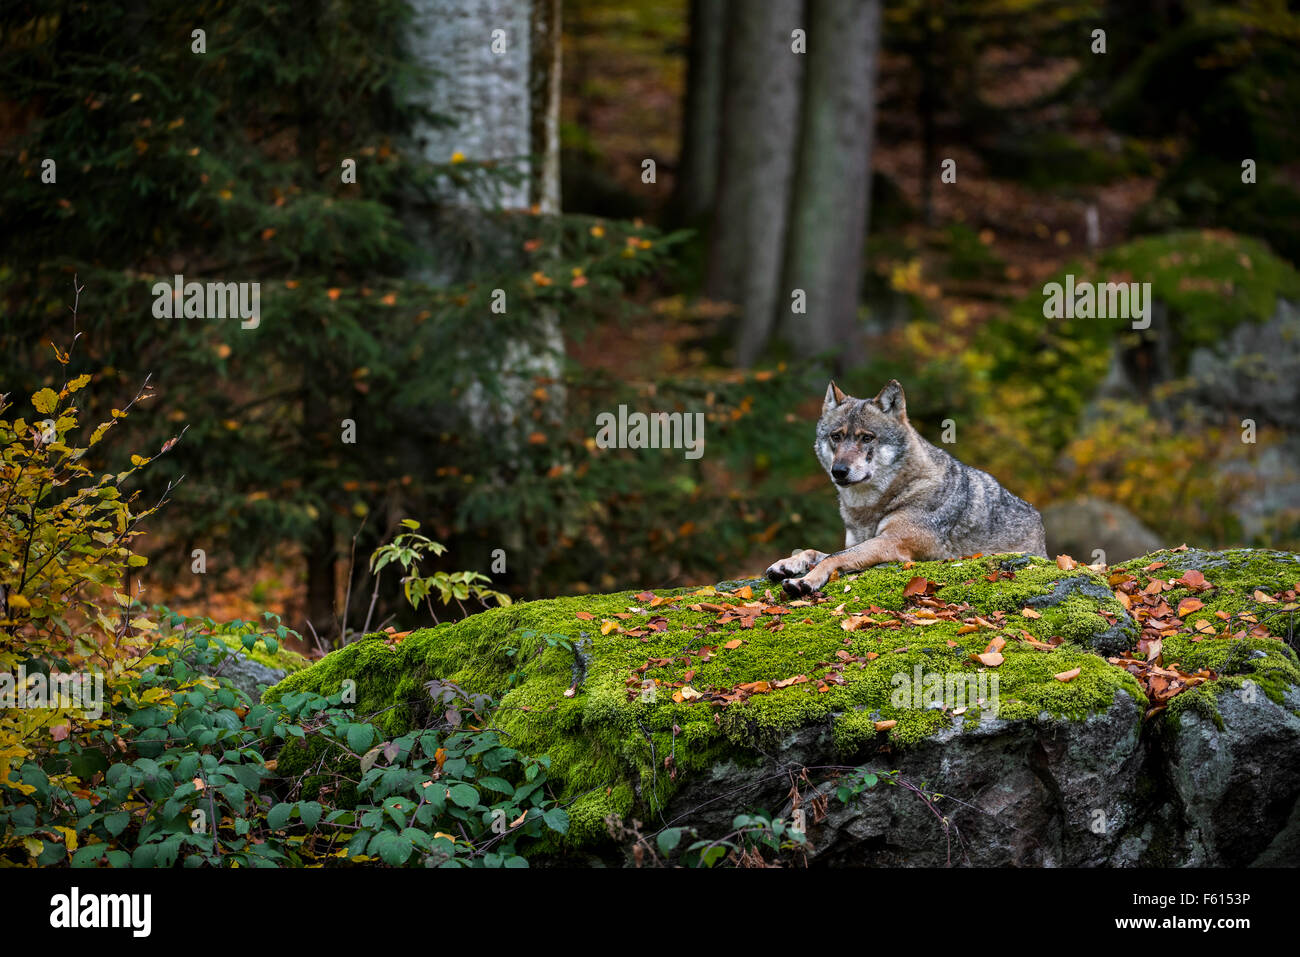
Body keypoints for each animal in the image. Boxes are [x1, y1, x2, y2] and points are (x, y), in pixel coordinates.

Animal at [766, 380, 1047, 596]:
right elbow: (815, 551)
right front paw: (787, 564)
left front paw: (805, 580)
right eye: (836, 436)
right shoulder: (865, 540)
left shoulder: (891, 542)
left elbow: (833, 557)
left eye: (866, 438)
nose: (839, 471)